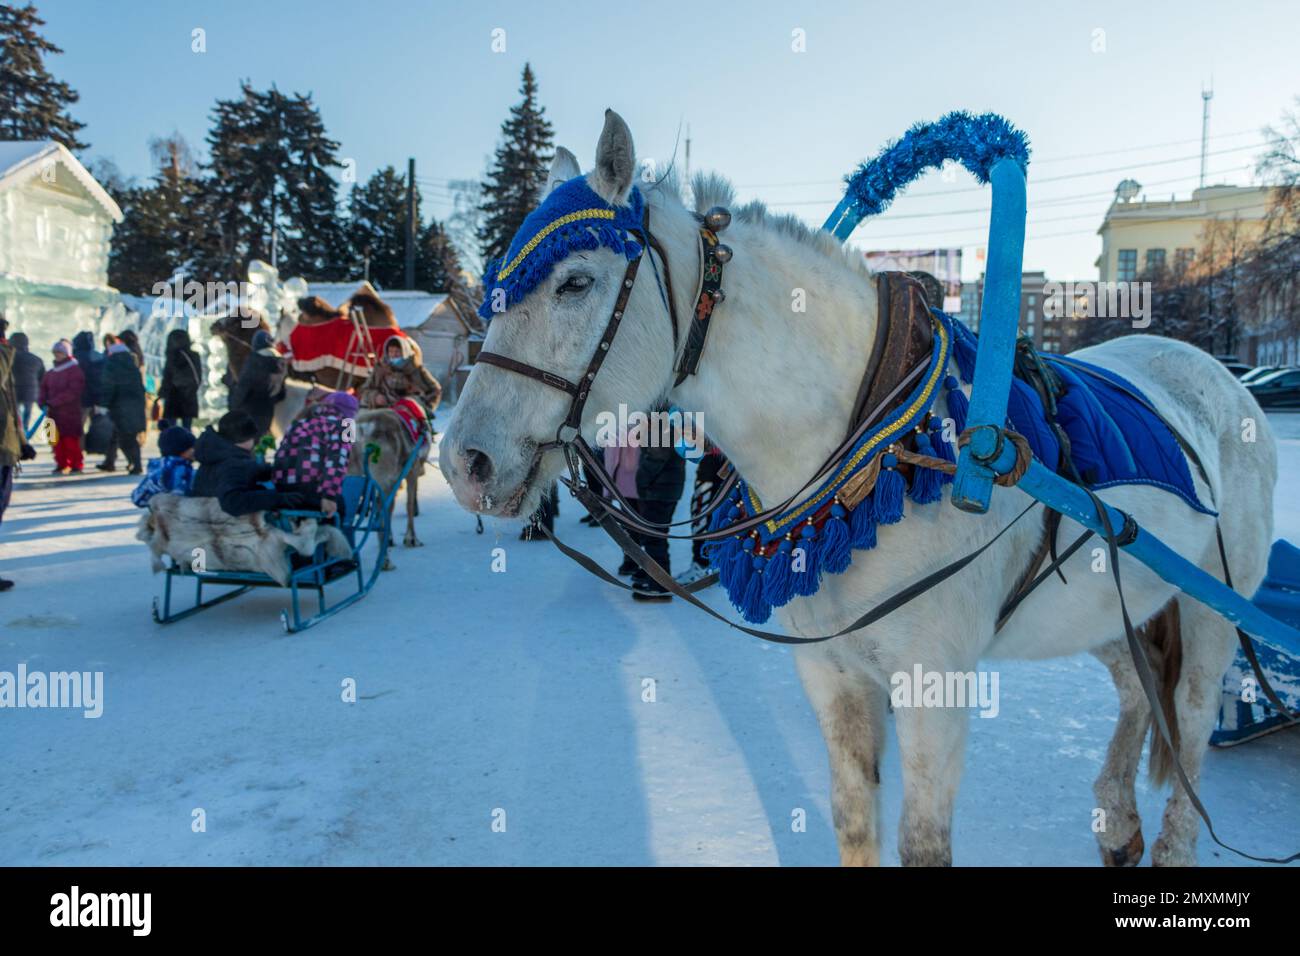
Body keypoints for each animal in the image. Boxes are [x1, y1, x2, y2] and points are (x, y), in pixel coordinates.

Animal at [439, 111, 1277, 867]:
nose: (462, 461)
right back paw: (1117, 822)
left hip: (1212, 608)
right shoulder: (832, 672)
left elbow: (922, 843)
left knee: (1190, 723)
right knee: (1138, 693)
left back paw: (1169, 845)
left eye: (576, 282)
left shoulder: (935, 682)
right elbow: (851, 820)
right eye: (496, 285)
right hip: (1114, 604)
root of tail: (1215, 372)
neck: (871, 441)